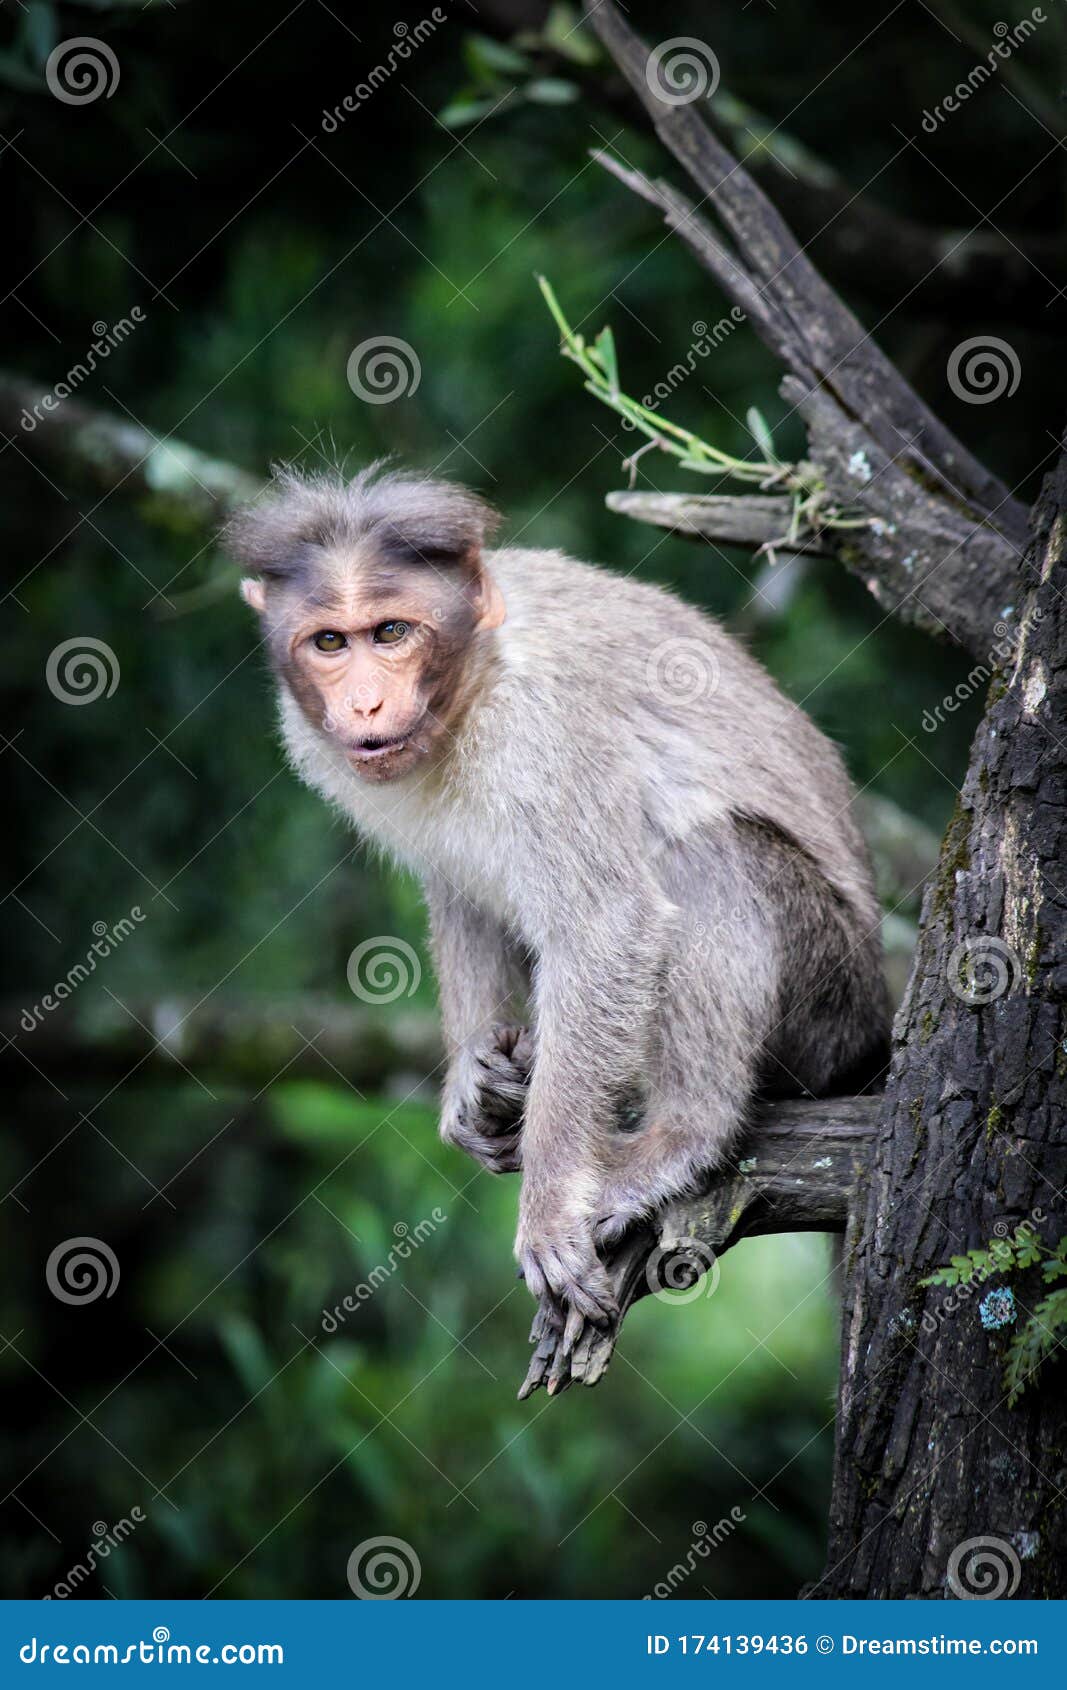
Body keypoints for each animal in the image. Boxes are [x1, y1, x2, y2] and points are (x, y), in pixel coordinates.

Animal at [228, 464, 889, 1338]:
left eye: (391, 632)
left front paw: (548, 1209)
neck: (472, 684)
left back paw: (684, 1132)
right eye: (330, 643)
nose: (365, 703)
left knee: (710, 856)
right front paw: (474, 1077)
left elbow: (606, 927)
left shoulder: (541, 731)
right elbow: (461, 890)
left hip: (831, 1004)